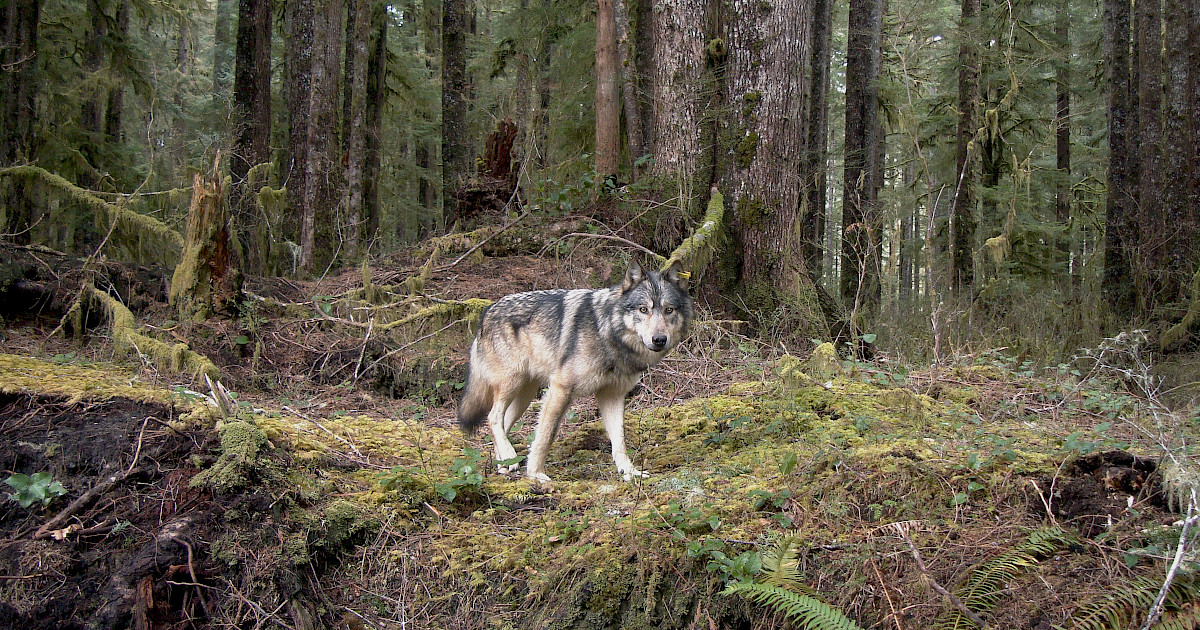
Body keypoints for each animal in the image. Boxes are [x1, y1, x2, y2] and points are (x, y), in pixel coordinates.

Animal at [457, 261, 693, 483]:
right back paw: (508, 456)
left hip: (524, 395)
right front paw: (535, 474)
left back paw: (505, 464)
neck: (607, 332)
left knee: (504, 423)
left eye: (669, 310)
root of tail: (487, 311)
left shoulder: (613, 395)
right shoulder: (560, 389)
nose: (659, 339)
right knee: (492, 417)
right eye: (643, 309)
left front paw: (629, 472)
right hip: (511, 383)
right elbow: (545, 436)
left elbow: (619, 440)